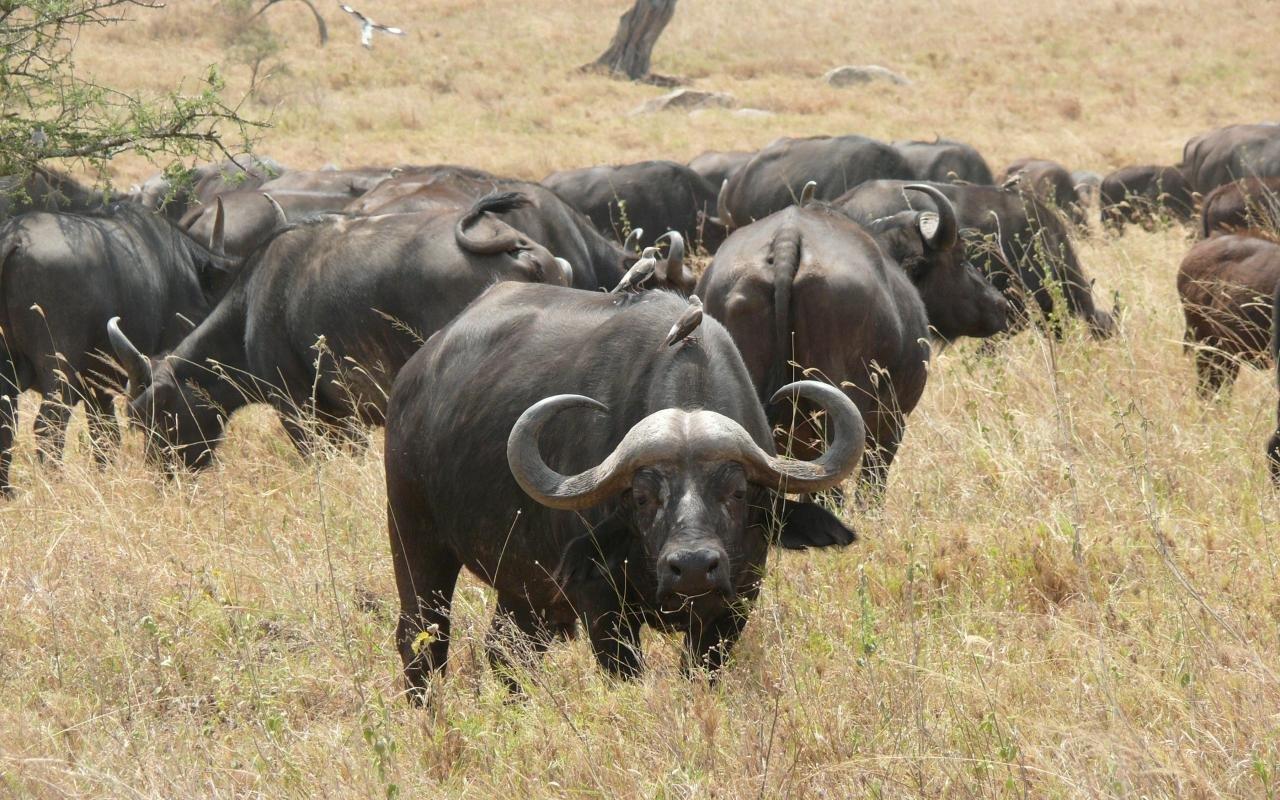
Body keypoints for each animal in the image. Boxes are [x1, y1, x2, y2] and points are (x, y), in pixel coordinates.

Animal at [108, 193, 572, 470]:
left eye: (147, 414)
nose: (162, 471)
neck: (251, 306)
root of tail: (518, 248)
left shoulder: (300, 408)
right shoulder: (345, 416)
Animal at [384, 282, 863, 698]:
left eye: (738, 493)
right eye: (642, 497)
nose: (693, 567)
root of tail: (414, 379)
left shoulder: (734, 605)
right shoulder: (602, 605)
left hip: (523, 586)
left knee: (507, 652)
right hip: (414, 535)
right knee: (423, 640)